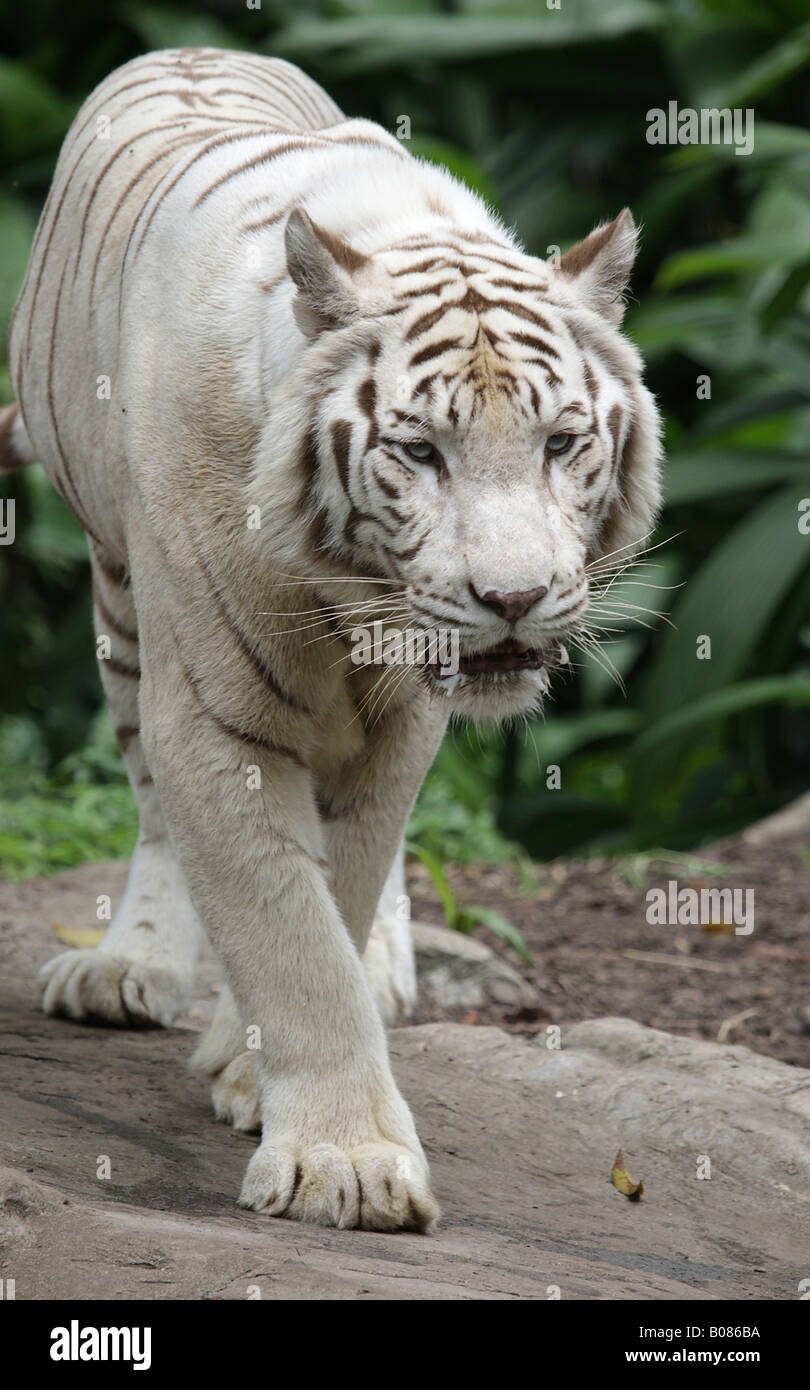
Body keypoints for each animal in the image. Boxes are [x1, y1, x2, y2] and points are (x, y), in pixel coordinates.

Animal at [2, 47, 662, 1232]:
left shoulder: (402, 722)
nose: (515, 596)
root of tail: (199, 49)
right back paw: (126, 967)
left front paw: (252, 1070)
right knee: (151, 804)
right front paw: (343, 1162)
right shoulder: (213, 713)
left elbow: (341, 892)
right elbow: (288, 930)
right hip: (119, 600)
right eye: (420, 450)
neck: (355, 600)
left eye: (561, 443)